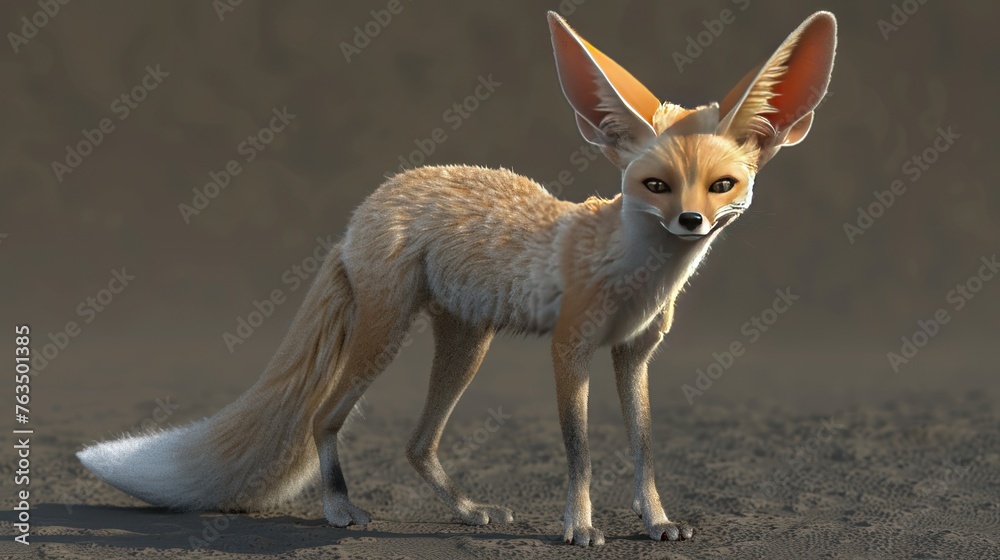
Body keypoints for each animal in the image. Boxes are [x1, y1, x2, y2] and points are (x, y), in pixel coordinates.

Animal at [77, 11, 836, 546]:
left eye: (721, 185)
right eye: (655, 184)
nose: (690, 221)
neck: (634, 272)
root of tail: (363, 210)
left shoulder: (633, 353)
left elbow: (643, 449)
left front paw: (655, 522)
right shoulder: (570, 349)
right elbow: (581, 451)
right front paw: (580, 526)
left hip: (467, 342)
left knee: (418, 445)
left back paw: (469, 511)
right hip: (387, 337)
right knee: (325, 417)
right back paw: (338, 509)